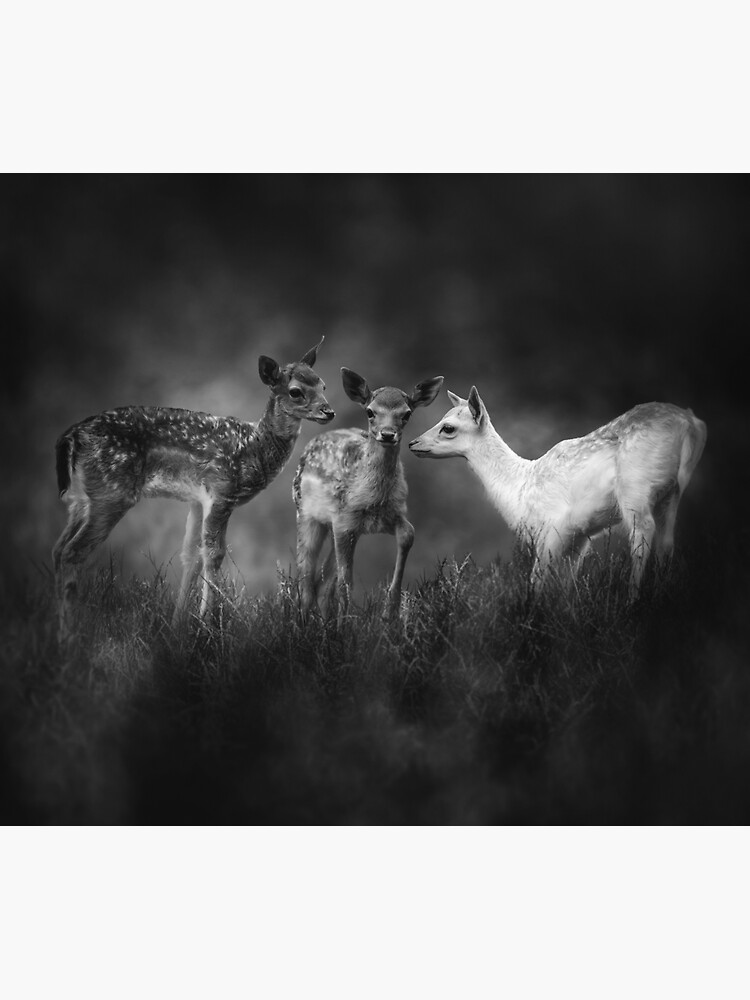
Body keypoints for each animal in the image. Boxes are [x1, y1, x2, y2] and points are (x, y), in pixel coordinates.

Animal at [52, 339, 334, 641]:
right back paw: (68, 636)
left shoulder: (198, 500)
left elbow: (190, 556)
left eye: (323, 385)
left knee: (58, 549)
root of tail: (72, 436)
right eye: (295, 392)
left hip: (82, 500)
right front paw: (208, 626)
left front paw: (179, 627)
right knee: (73, 552)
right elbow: (213, 554)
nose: (329, 412)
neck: (254, 447)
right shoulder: (222, 491)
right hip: (112, 491)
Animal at [293, 367, 444, 620]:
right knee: (306, 575)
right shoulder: (343, 521)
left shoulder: (392, 514)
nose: (387, 434)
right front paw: (344, 625)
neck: (374, 498)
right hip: (306, 514)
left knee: (322, 581)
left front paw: (389, 614)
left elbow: (408, 535)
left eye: (407, 414)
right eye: (370, 411)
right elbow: (345, 583)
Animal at [409, 387, 707, 597]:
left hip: (636, 487)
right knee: (667, 540)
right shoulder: (579, 536)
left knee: (642, 536)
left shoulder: (553, 528)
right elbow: (565, 581)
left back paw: (632, 598)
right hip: (671, 493)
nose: (413, 443)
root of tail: (691, 424)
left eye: (448, 427)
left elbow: (537, 580)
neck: (519, 492)